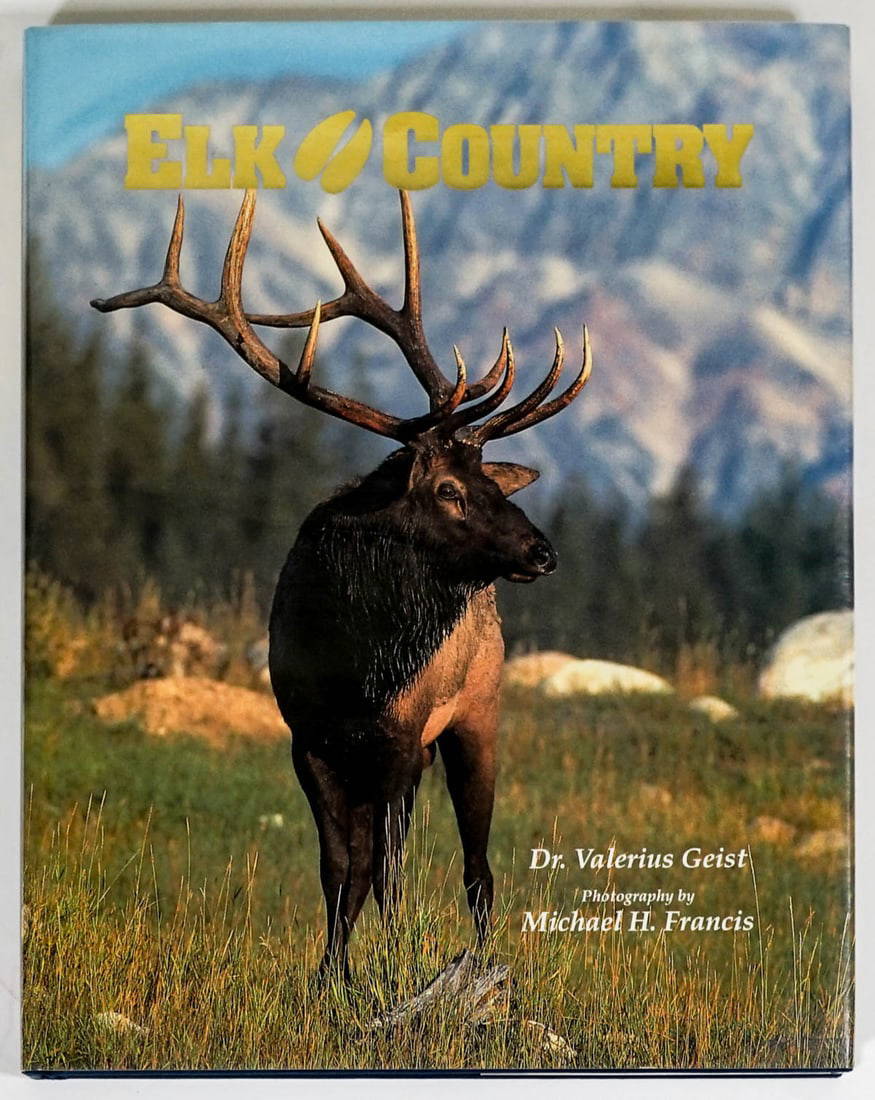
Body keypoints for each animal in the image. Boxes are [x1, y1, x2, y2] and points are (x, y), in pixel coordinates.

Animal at [91, 190, 592, 981]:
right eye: (449, 489)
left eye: (490, 481)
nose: (542, 551)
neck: (354, 669)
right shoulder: (310, 739)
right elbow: (338, 870)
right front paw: (331, 978)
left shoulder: (399, 737)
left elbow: (378, 869)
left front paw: (383, 968)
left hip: (475, 712)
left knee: (476, 866)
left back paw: (483, 960)